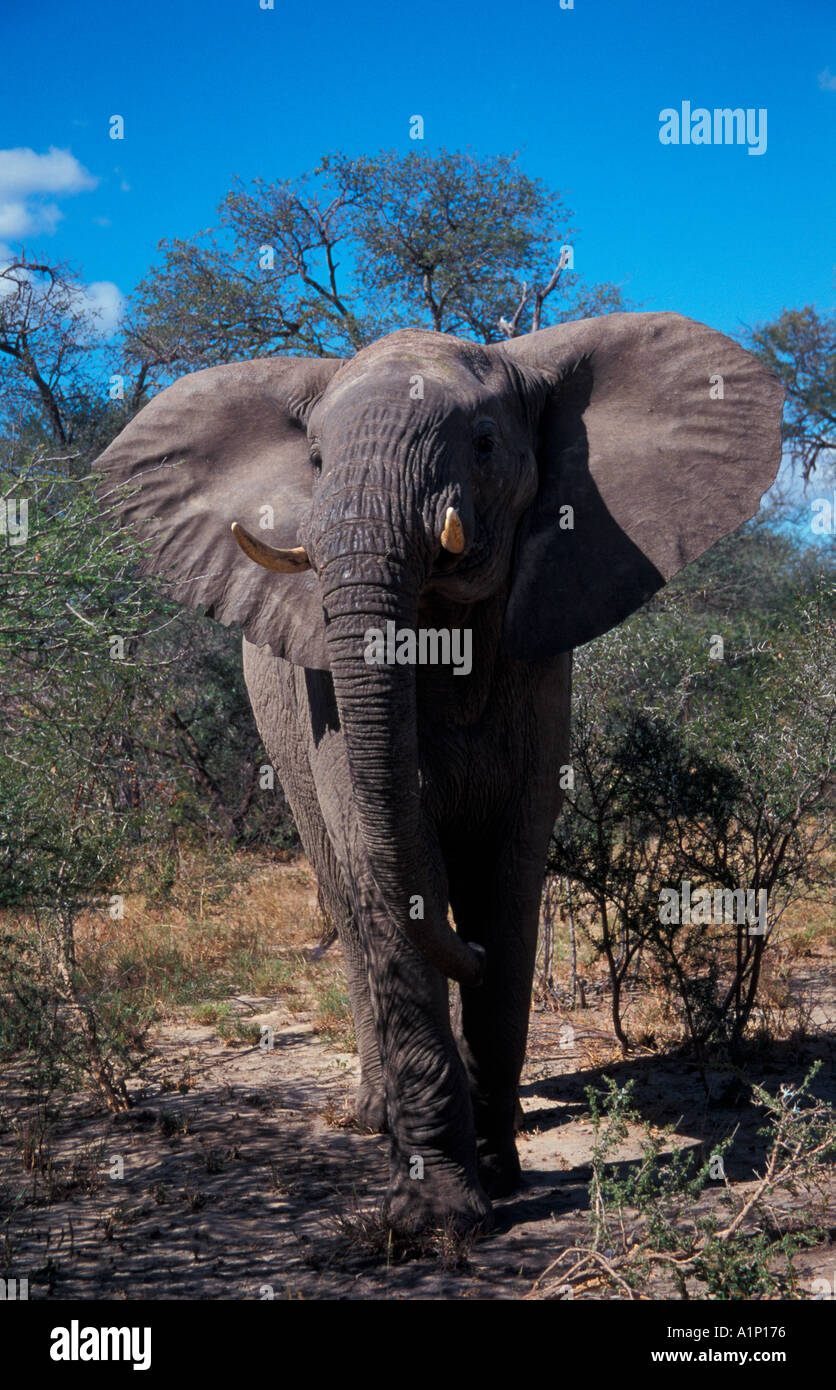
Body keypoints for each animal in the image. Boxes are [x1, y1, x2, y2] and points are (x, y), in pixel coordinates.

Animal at [95, 312, 782, 1234]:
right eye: (317, 459)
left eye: (485, 443)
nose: (475, 958)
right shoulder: (325, 703)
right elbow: (387, 868)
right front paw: (436, 1213)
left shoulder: (540, 661)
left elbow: (510, 871)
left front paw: (500, 1172)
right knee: (349, 897)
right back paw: (374, 1115)